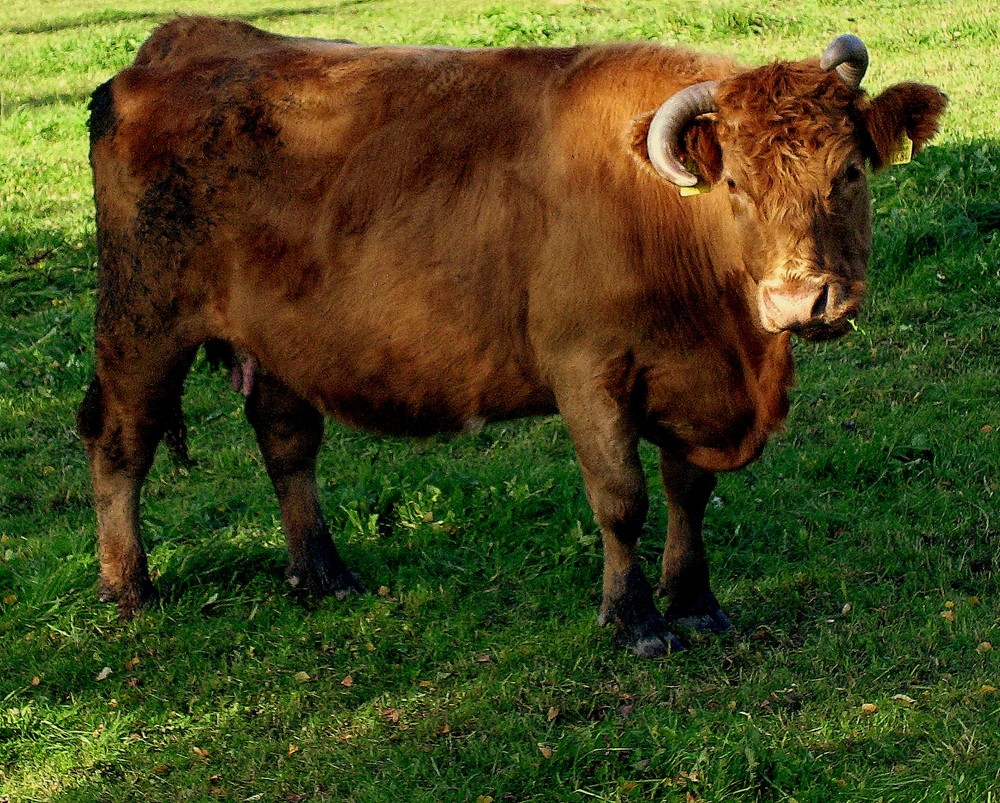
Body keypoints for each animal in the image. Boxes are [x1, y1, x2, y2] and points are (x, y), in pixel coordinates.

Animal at [77, 16, 946, 656]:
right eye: (735, 183)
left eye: (850, 173)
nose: (801, 300)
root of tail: (176, 46)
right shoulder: (588, 369)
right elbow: (622, 498)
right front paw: (635, 618)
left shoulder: (694, 385)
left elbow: (688, 492)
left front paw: (695, 600)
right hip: (142, 322)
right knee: (120, 440)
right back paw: (130, 588)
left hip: (279, 338)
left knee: (286, 441)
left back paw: (322, 571)